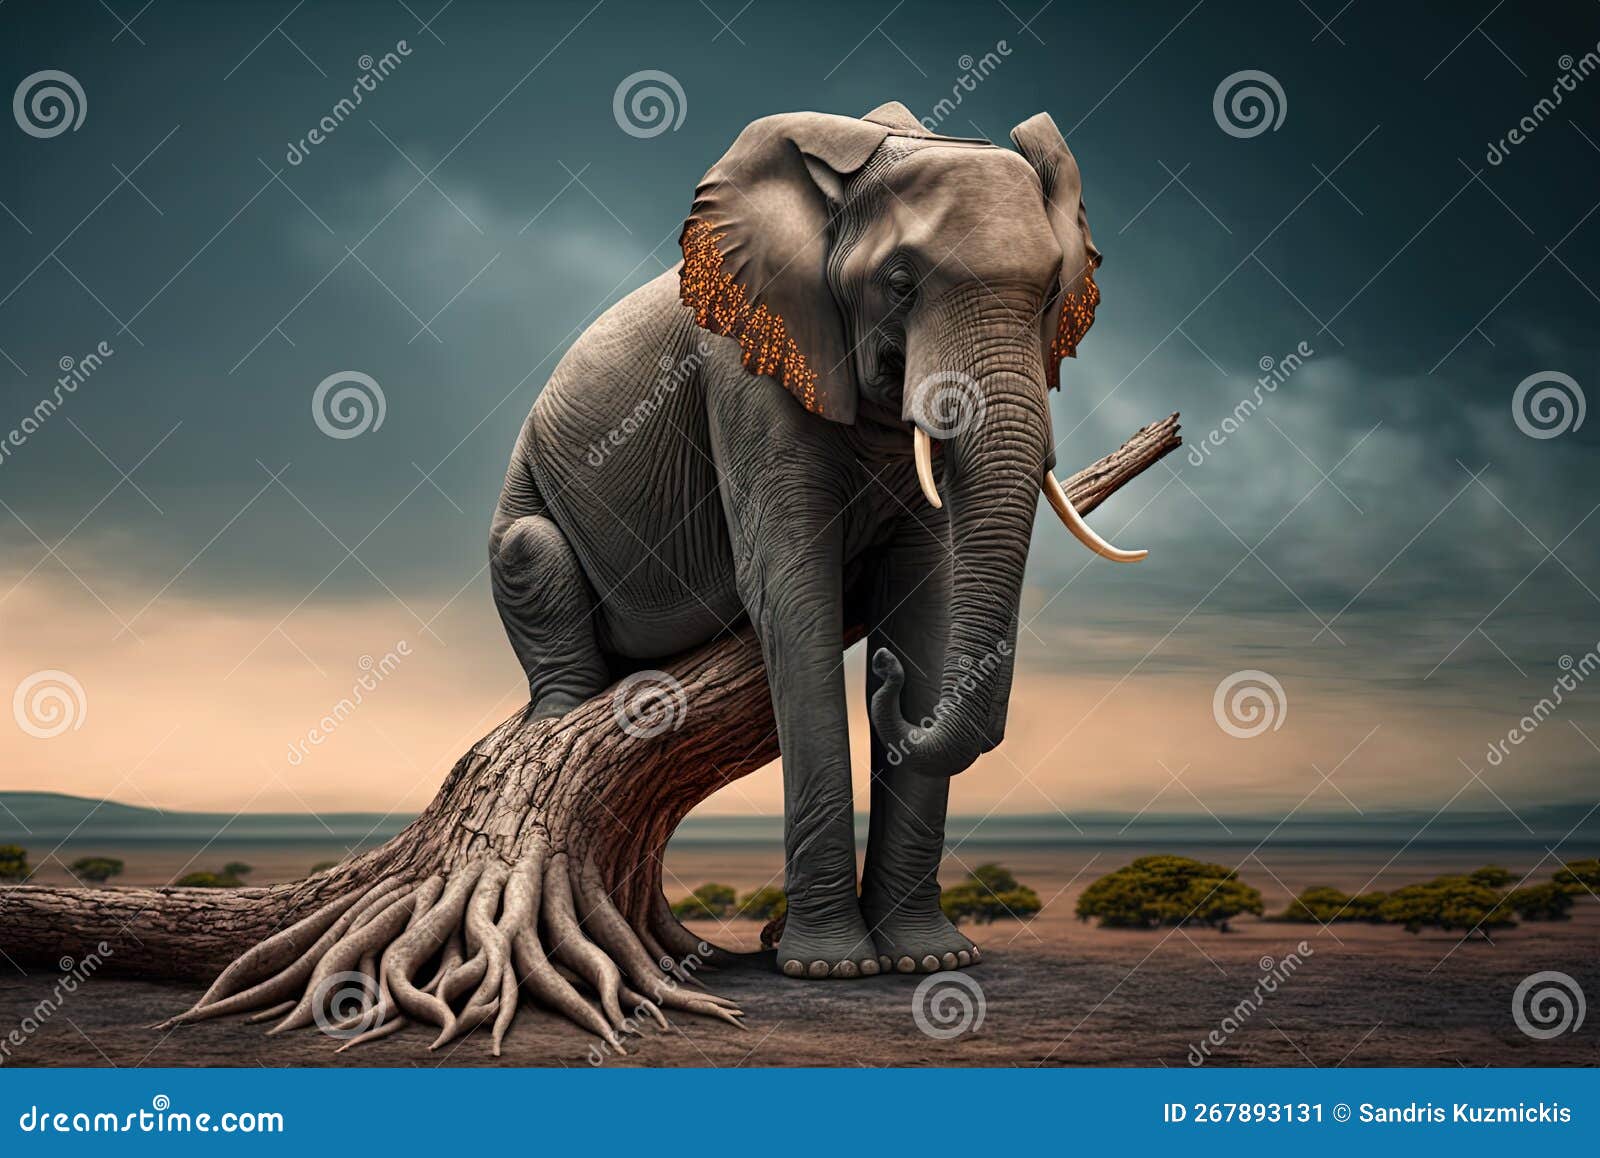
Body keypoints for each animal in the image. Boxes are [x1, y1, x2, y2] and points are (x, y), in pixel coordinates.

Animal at [489, 101, 1146, 981]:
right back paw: (563, 710)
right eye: (899, 284)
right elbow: (791, 592)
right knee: (529, 552)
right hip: (526, 510)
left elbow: (928, 596)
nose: (886, 680)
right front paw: (831, 967)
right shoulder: (746, 369)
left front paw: (929, 962)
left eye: (1049, 292)